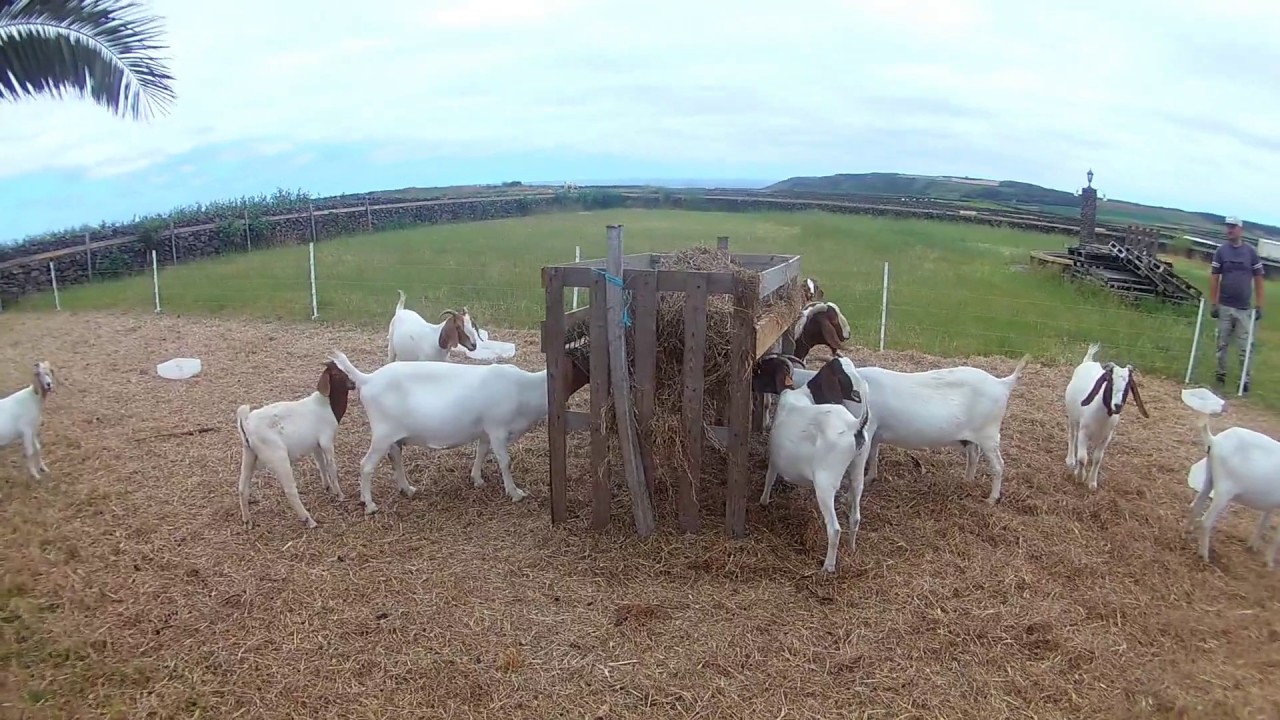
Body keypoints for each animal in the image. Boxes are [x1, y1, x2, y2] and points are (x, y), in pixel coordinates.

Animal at [235, 362, 355, 528]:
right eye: (336, 374)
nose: (353, 384)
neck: (327, 405)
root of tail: (245, 422)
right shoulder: (326, 441)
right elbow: (331, 467)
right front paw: (340, 494)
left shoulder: (316, 445)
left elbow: (321, 465)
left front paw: (327, 487)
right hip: (278, 458)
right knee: (290, 491)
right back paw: (309, 520)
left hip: (249, 454)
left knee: (242, 488)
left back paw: (247, 520)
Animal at [328, 351, 588, 515]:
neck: (527, 389)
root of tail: (367, 379)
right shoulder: (497, 427)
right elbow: (505, 461)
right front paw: (515, 492)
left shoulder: (486, 431)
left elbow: (482, 452)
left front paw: (477, 479)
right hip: (382, 433)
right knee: (366, 465)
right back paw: (370, 504)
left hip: (392, 436)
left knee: (395, 457)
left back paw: (407, 489)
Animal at [754, 354, 871, 572]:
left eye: (763, 369)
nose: (751, 380)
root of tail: (855, 425)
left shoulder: (774, 456)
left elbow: (769, 477)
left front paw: (763, 501)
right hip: (858, 470)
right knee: (856, 516)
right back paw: (852, 549)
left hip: (826, 483)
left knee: (834, 529)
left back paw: (828, 567)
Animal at [1063, 342, 1149, 491]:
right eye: (1110, 380)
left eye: (1128, 385)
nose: (1117, 405)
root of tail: (1088, 361)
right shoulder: (1084, 432)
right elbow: (1082, 458)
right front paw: (1079, 477)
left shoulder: (1106, 437)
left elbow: (1097, 458)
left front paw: (1092, 483)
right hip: (1073, 417)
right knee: (1072, 435)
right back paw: (1070, 460)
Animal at [1186, 415, 1280, 569]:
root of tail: (1215, 441)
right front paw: (1269, 562)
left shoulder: (1271, 504)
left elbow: (1264, 522)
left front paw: (1253, 546)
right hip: (1224, 490)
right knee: (1206, 521)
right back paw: (1204, 555)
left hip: (1210, 477)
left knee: (1198, 502)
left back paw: (1188, 530)